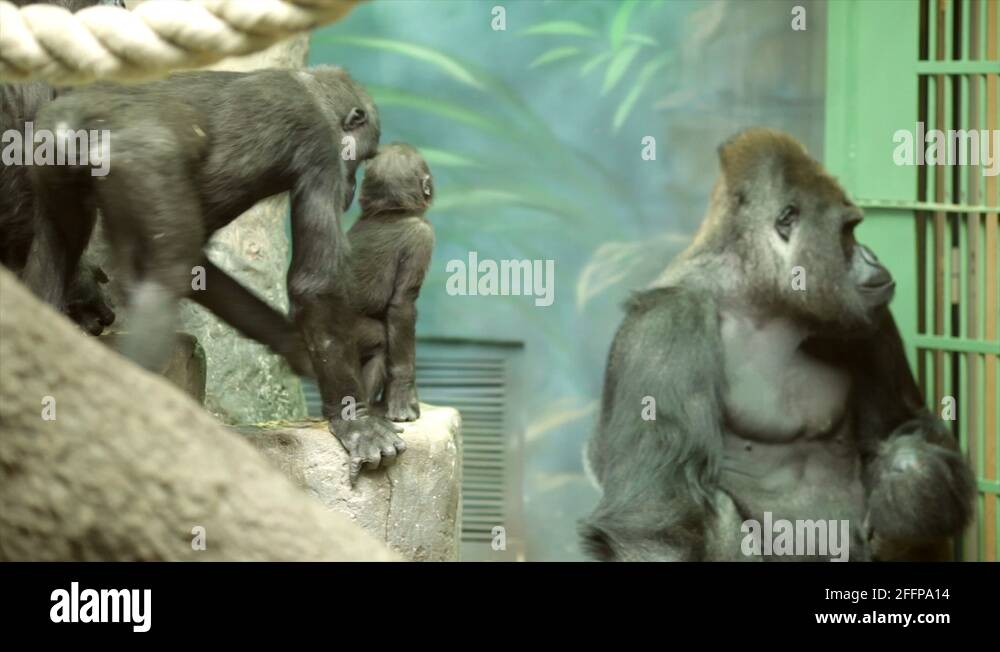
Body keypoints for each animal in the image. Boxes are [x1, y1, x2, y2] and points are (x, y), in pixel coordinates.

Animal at [20, 65, 407, 481]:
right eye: (362, 159)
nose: (351, 188)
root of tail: (76, 124)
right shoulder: (321, 146)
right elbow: (314, 284)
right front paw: (357, 421)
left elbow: (199, 269)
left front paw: (295, 346)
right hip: (143, 160)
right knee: (165, 272)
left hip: (50, 151)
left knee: (59, 245)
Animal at [580, 128, 975, 561]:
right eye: (848, 231)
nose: (872, 257)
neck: (760, 295)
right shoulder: (666, 323)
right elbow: (653, 520)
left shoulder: (868, 315)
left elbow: (902, 425)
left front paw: (909, 486)